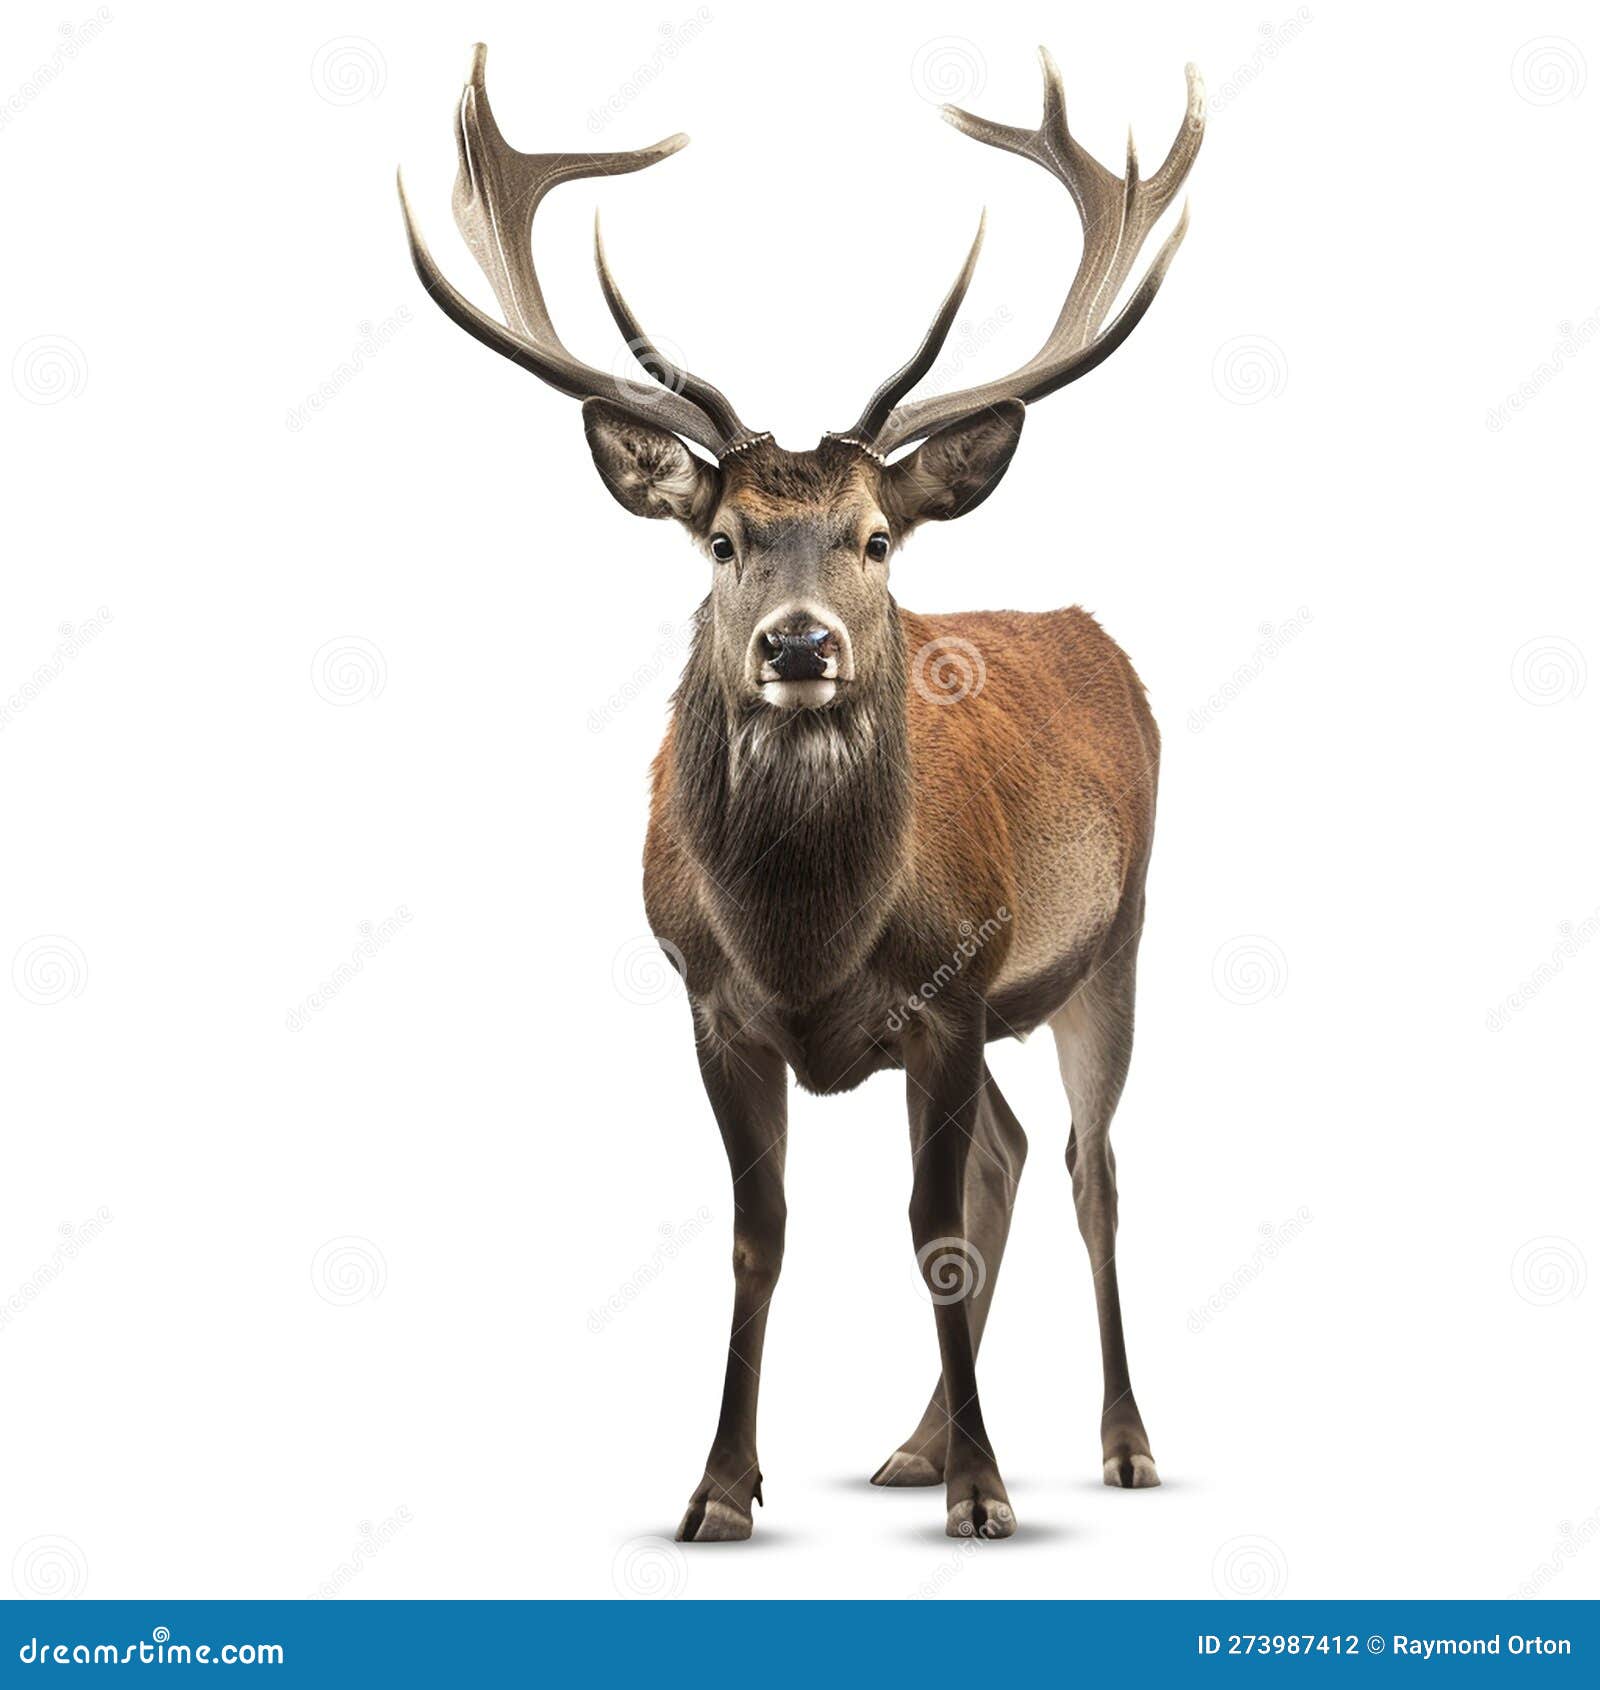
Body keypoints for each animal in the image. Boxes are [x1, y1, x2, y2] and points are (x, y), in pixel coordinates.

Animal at [400, 43, 1203, 1542]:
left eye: (877, 538)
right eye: (722, 540)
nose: (797, 646)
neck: (806, 940)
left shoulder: (951, 988)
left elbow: (932, 1233)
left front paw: (987, 1494)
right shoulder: (713, 1002)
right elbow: (756, 1239)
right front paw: (720, 1487)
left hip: (1110, 944)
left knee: (1090, 1166)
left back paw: (1121, 1444)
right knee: (1015, 1152)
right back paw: (912, 1440)